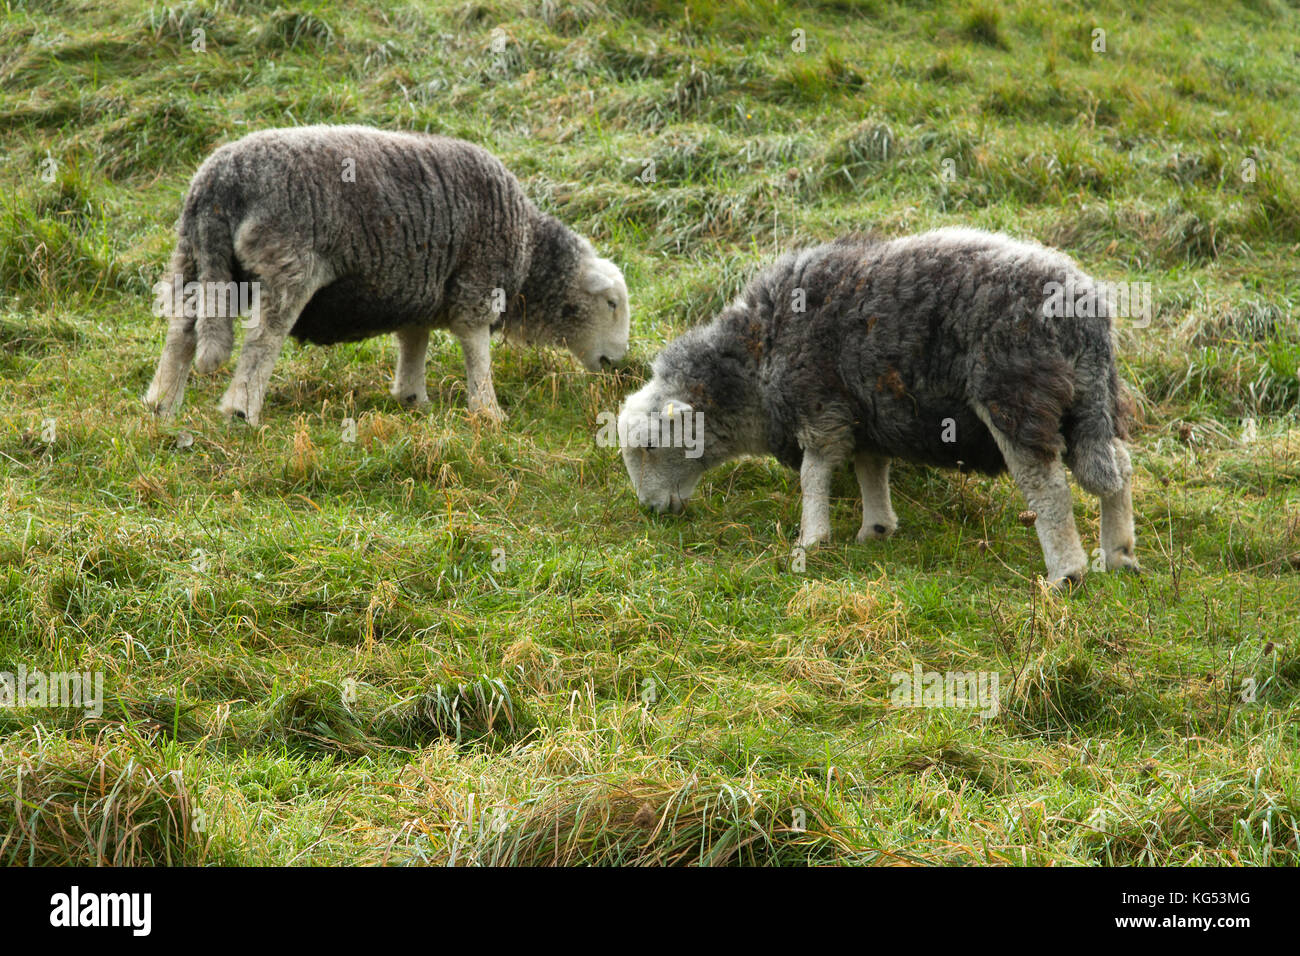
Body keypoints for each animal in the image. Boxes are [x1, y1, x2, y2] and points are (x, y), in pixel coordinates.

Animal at [144, 125, 630, 425]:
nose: (618, 362)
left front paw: (412, 398)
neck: (529, 255)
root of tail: (220, 185)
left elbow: (414, 341)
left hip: (193, 259)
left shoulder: (418, 289)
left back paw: (161, 404)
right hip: (287, 263)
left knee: (181, 333)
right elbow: (477, 349)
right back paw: (241, 411)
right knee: (262, 341)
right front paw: (488, 411)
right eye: (611, 304)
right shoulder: (478, 282)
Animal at [617, 228, 1139, 589]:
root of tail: (1084, 309)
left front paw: (812, 539)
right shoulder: (867, 413)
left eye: (649, 449)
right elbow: (871, 468)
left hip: (1016, 395)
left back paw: (1066, 573)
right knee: (1115, 470)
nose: (651, 510)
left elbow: (814, 474)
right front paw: (876, 528)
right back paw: (1119, 554)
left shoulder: (820, 407)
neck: (756, 362)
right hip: (1093, 400)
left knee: (1049, 488)